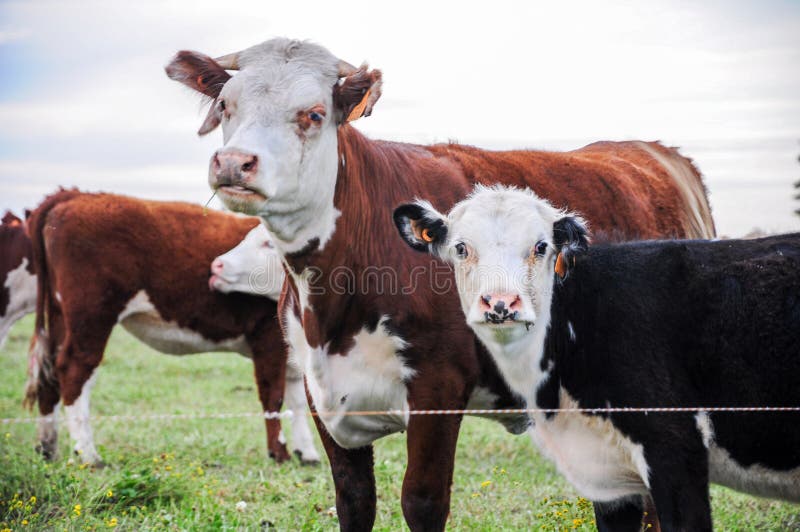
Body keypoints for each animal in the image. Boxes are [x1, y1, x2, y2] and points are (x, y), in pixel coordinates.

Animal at [23, 190, 319, 466]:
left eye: (269, 242)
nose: (217, 265)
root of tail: (75, 195)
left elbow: (299, 400)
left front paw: (307, 452)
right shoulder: (267, 339)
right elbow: (274, 396)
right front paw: (279, 452)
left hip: (60, 317)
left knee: (49, 376)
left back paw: (48, 448)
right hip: (91, 318)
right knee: (74, 371)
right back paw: (87, 453)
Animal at [166, 37, 715, 530]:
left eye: (314, 114)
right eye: (226, 105)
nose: (234, 163)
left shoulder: (438, 386)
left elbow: (422, 502)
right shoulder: (319, 388)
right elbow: (354, 502)